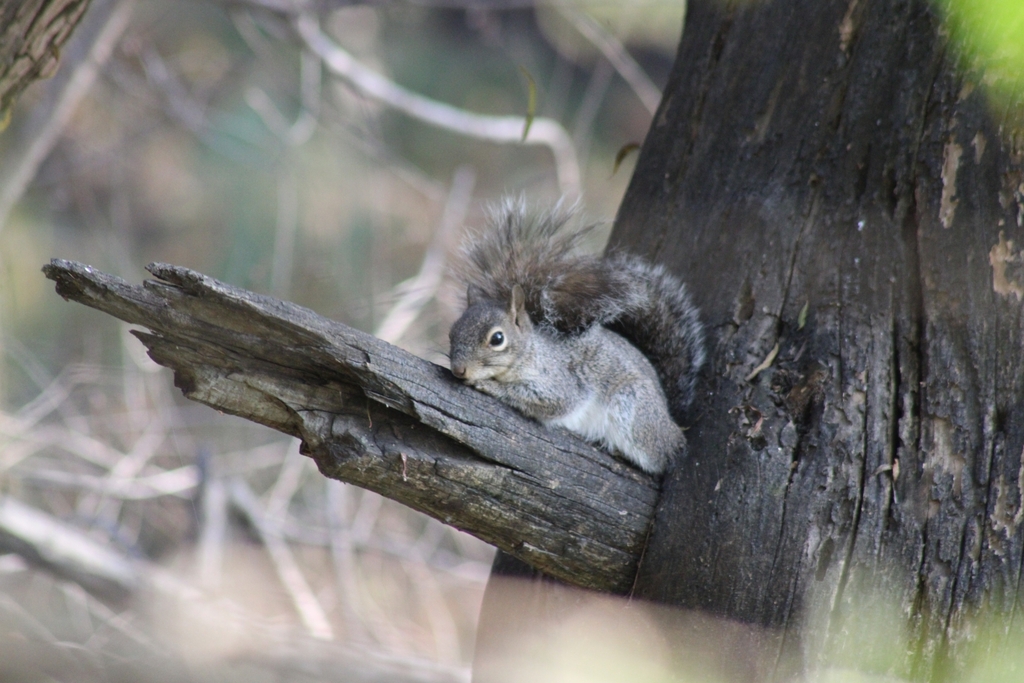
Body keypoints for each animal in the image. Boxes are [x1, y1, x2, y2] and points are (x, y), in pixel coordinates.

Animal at [448, 198, 705, 475]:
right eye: (452, 332)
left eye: (497, 339)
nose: (459, 370)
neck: (530, 353)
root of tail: (671, 423)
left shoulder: (560, 382)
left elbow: (550, 400)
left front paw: (490, 386)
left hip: (633, 409)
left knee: (658, 459)